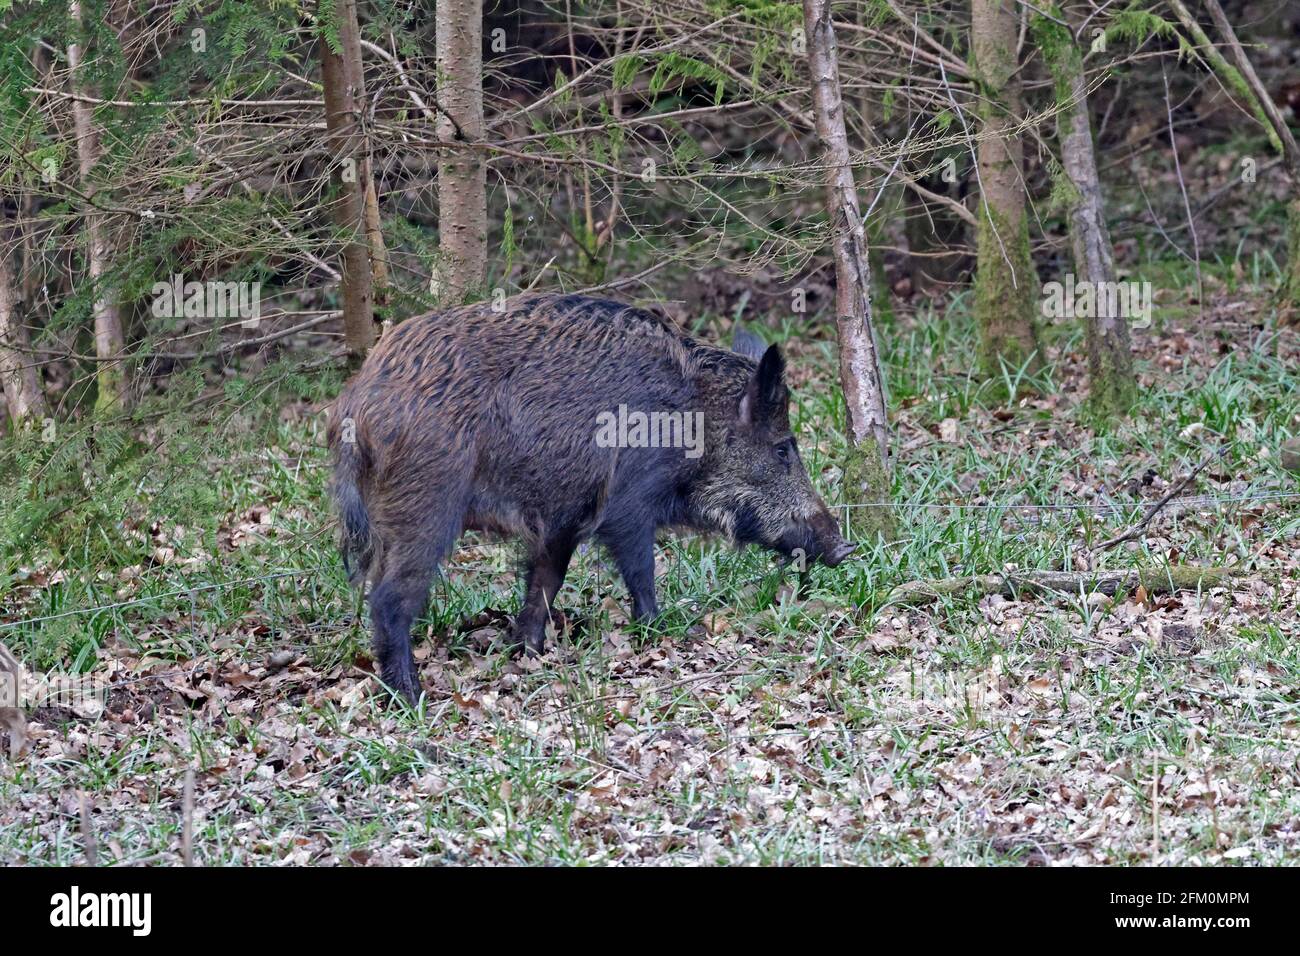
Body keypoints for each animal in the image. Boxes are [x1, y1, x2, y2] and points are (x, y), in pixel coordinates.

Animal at [327, 294, 853, 702]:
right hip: (426, 505)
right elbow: (640, 570)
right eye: (783, 448)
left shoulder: (563, 518)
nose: (845, 546)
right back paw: (412, 699)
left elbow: (546, 580)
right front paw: (659, 633)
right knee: (388, 598)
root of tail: (356, 403)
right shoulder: (627, 503)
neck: (697, 423)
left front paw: (527, 653)